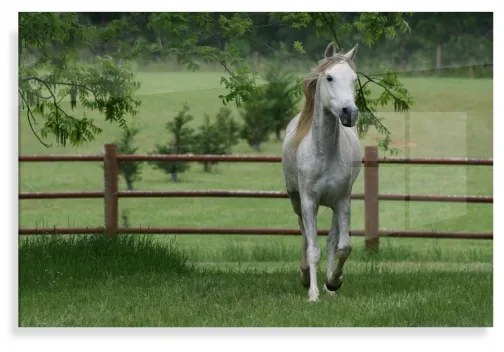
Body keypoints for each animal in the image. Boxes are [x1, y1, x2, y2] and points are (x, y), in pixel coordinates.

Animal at [282, 42, 360, 302]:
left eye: (354, 79)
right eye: (329, 77)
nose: (349, 113)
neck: (325, 153)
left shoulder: (343, 201)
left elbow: (342, 246)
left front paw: (333, 282)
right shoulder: (309, 202)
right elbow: (313, 248)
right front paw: (313, 293)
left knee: (332, 240)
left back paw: (328, 287)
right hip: (296, 201)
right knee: (305, 236)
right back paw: (305, 276)